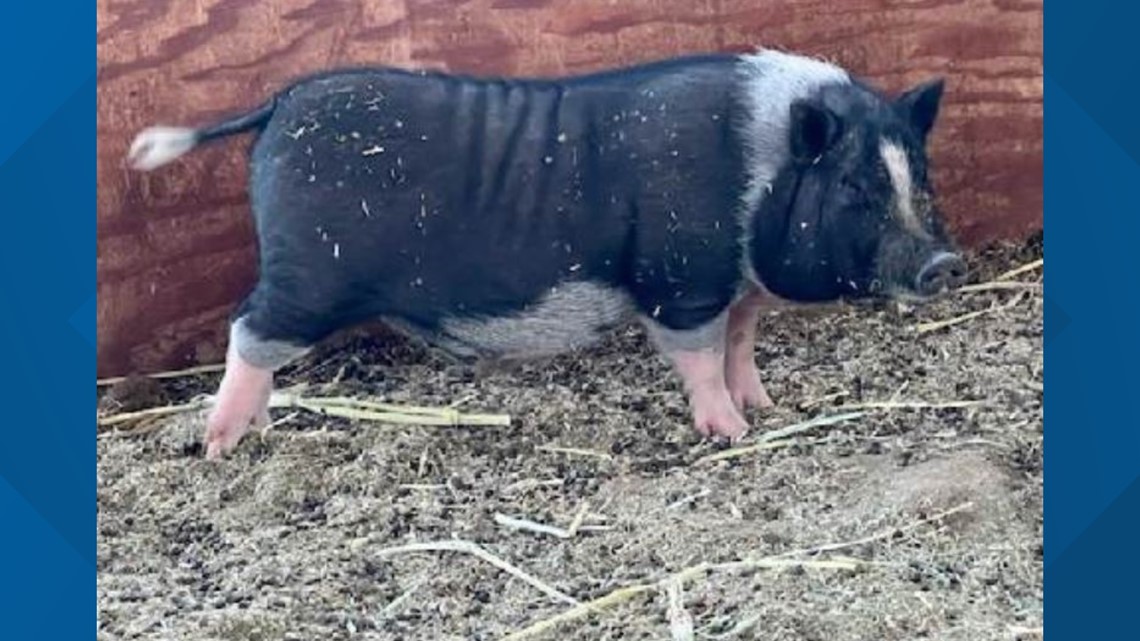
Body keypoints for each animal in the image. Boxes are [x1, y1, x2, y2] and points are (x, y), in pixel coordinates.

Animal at [127, 48, 966, 459]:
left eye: (920, 176)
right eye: (855, 187)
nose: (944, 263)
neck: (761, 173)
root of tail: (276, 105)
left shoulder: (736, 291)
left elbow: (741, 346)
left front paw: (765, 406)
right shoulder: (679, 280)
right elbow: (698, 357)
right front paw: (731, 432)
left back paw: (257, 433)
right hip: (310, 274)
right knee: (248, 331)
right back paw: (221, 445)